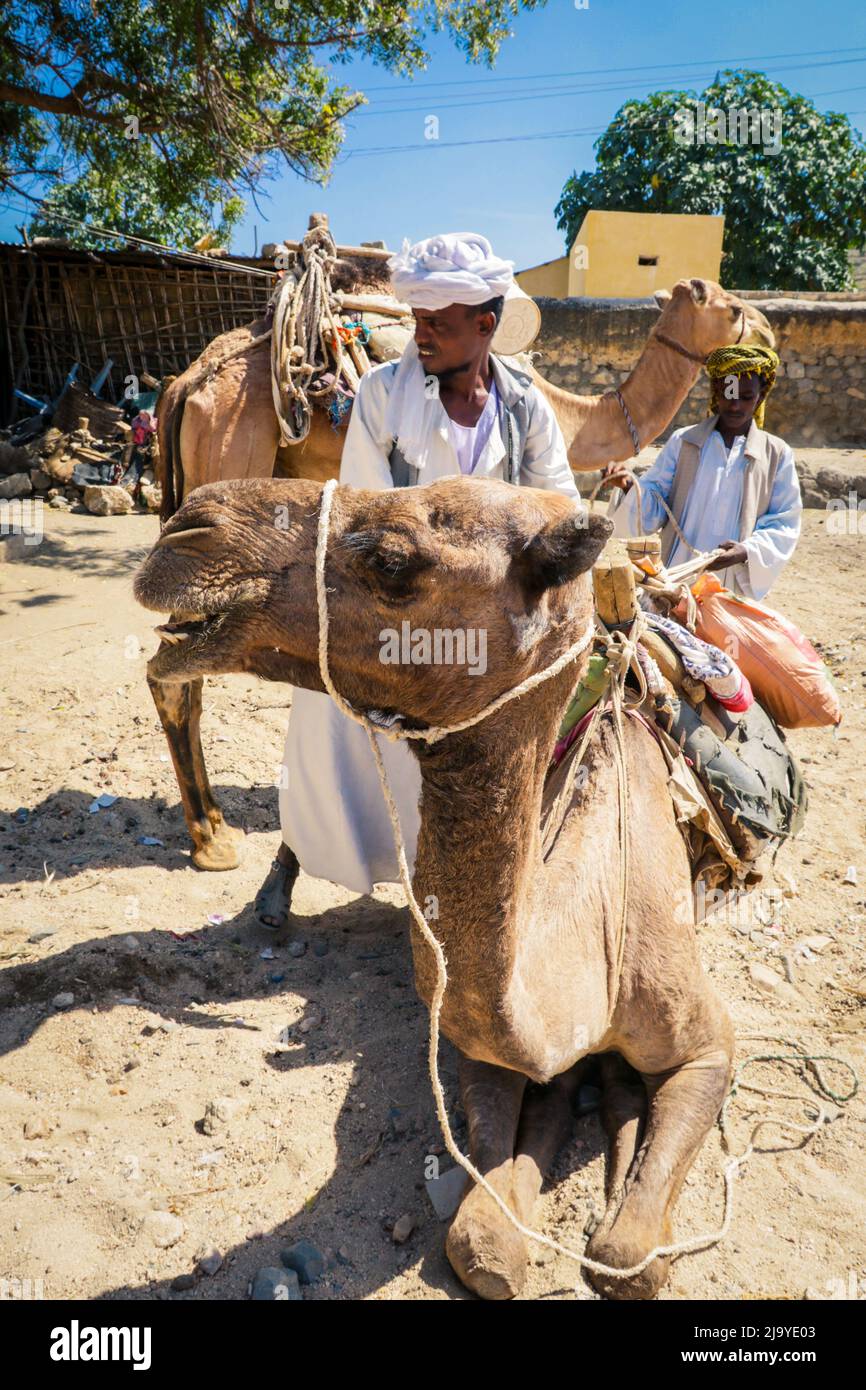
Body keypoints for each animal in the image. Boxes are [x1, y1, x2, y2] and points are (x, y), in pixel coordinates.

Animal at [134, 474, 734, 1300]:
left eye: (392, 560)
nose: (184, 529)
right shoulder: (491, 1051)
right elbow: (483, 1241)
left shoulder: (709, 1045)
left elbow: (624, 1258)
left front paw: (629, 1224)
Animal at [152, 274, 773, 870]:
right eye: (732, 308)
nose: (766, 336)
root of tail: (185, 383)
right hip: (231, 441)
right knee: (173, 674)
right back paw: (213, 841)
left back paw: (216, 824)